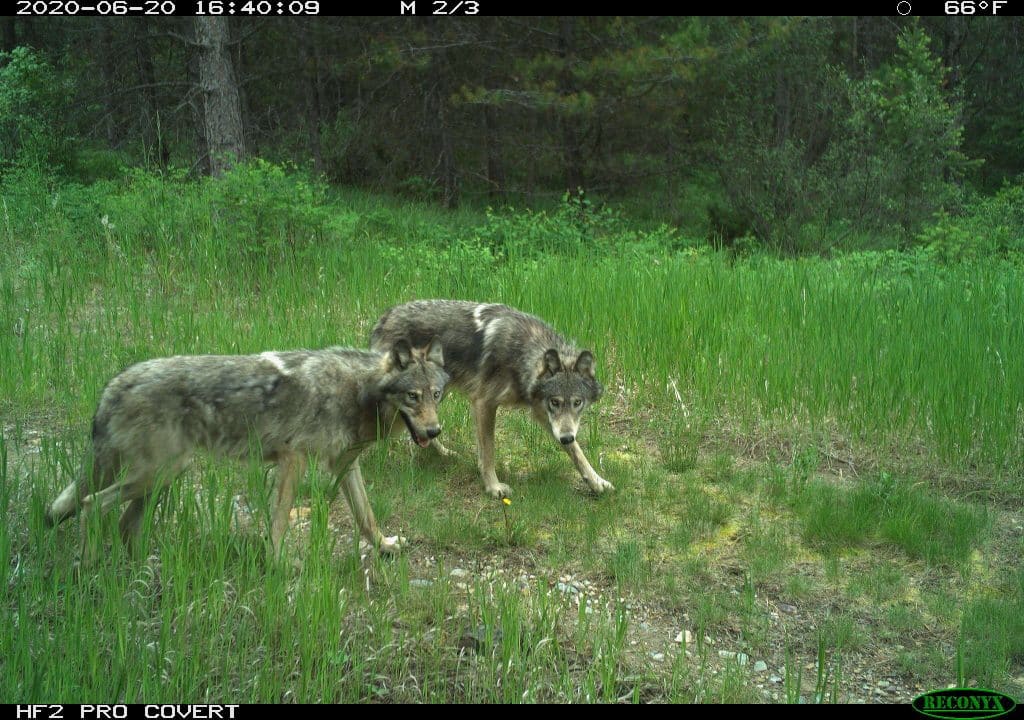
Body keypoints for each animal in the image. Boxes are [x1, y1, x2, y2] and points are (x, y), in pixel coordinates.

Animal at [46, 339, 449, 562]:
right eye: (413, 396)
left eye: (436, 394)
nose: (434, 431)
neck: (356, 389)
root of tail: (116, 383)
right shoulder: (293, 461)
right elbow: (279, 523)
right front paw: (280, 564)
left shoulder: (344, 465)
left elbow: (367, 518)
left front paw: (385, 547)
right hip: (155, 475)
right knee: (89, 505)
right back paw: (93, 567)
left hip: (165, 475)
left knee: (124, 523)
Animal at [370, 300, 612, 498]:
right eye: (555, 402)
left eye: (577, 403)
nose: (566, 438)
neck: (523, 356)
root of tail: (385, 316)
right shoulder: (484, 404)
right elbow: (488, 452)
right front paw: (494, 487)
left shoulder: (544, 415)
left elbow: (577, 453)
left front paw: (597, 481)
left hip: (435, 394)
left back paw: (442, 453)